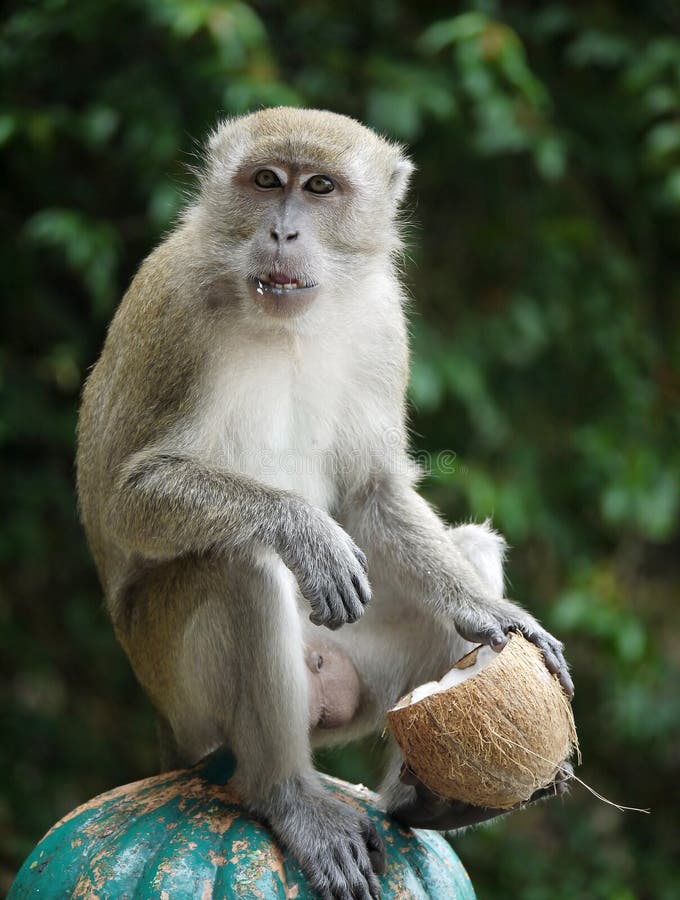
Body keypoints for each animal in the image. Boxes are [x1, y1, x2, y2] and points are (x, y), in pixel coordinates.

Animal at [76, 107, 573, 900]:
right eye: (265, 181)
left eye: (319, 188)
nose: (283, 231)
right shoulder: (175, 308)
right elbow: (129, 497)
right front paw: (304, 530)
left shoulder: (380, 317)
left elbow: (374, 489)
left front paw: (490, 612)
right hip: (183, 697)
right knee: (240, 569)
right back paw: (286, 797)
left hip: (358, 685)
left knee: (467, 550)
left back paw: (423, 798)